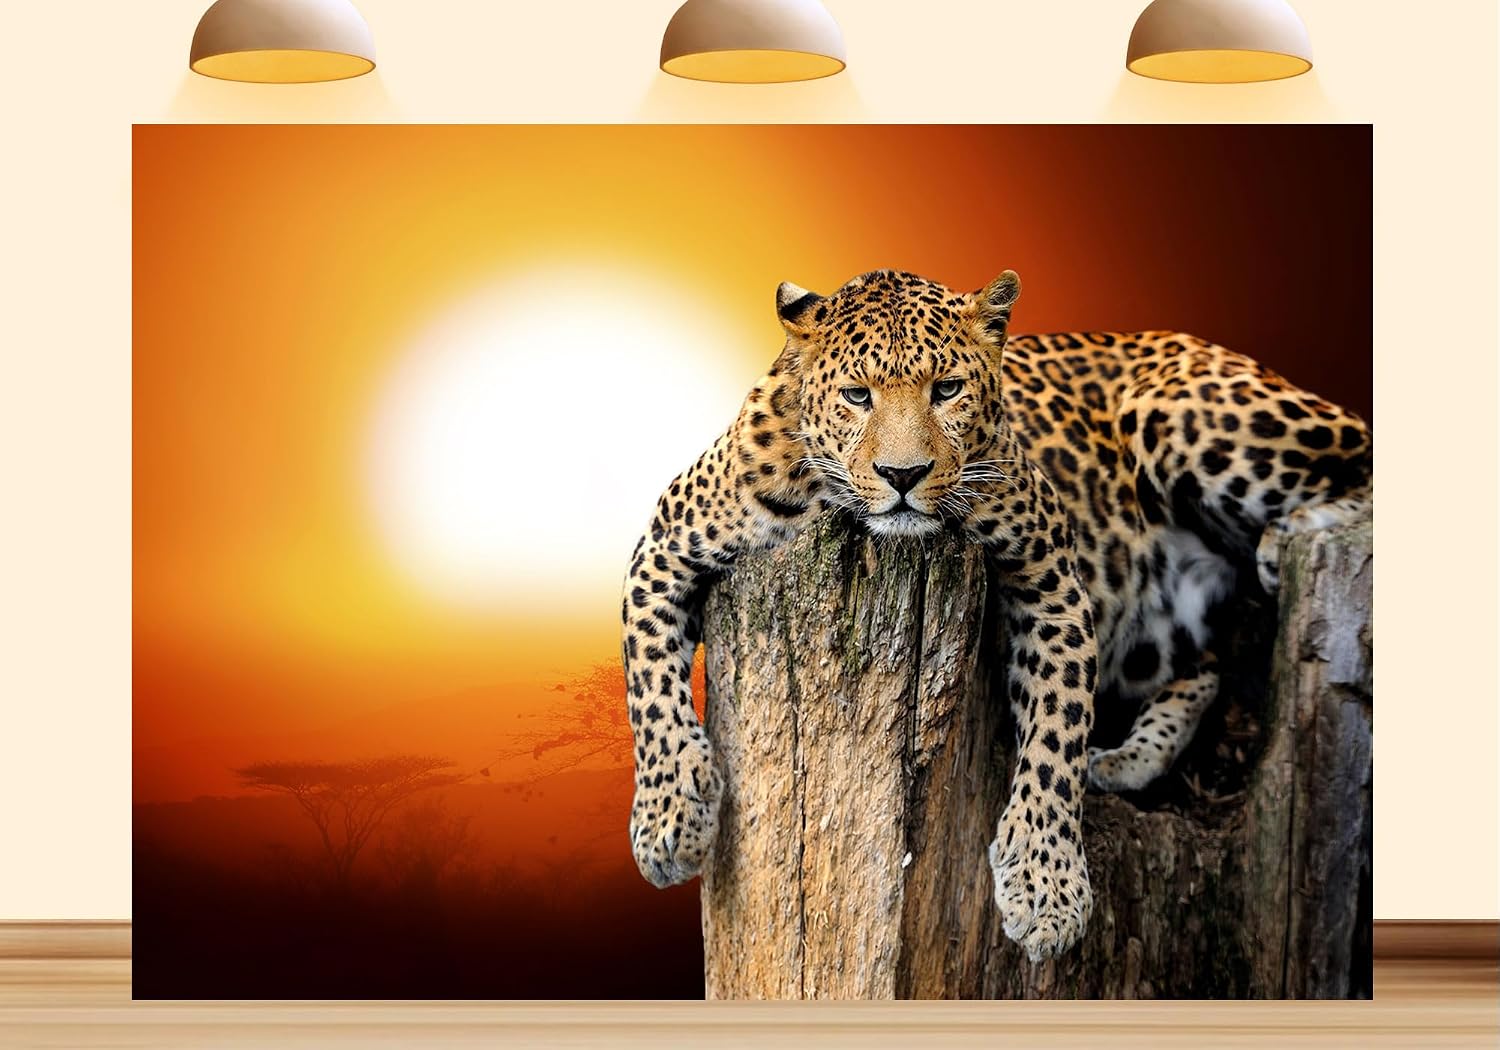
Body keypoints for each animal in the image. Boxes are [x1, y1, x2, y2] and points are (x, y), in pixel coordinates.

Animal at [620, 268, 1372, 961]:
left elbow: (1057, 730)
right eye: (858, 395)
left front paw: (1046, 888)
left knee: (1363, 462)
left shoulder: (1051, 575)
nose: (903, 476)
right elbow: (649, 689)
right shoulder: (662, 549)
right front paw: (669, 821)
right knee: (1205, 665)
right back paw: (1126, 758)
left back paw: (1286, 539)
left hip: (1186, 412)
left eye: (947, 389)